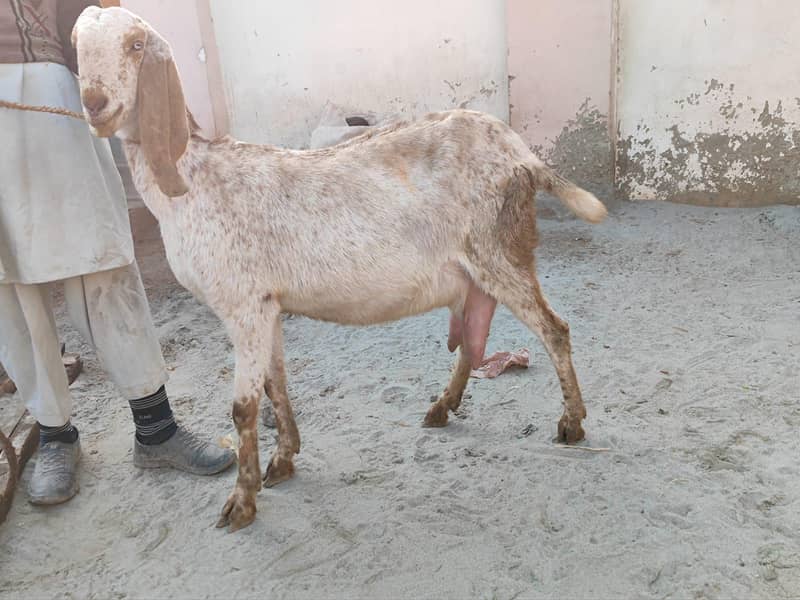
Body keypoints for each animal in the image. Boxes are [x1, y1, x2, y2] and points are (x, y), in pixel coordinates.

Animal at [73, 6, 607, 532]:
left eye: (135, 46)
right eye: (78, 45)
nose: (95, 104)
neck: (195, 178)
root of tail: (522, 155)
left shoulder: (243, 305)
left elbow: (243, 408)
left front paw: (241, 502)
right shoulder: (267, 305)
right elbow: (275, 383)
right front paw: (284, 460)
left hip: (499, 251)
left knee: (554, 329)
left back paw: (572, 423)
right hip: (477, 266)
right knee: (474, 338)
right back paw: (442, 406)